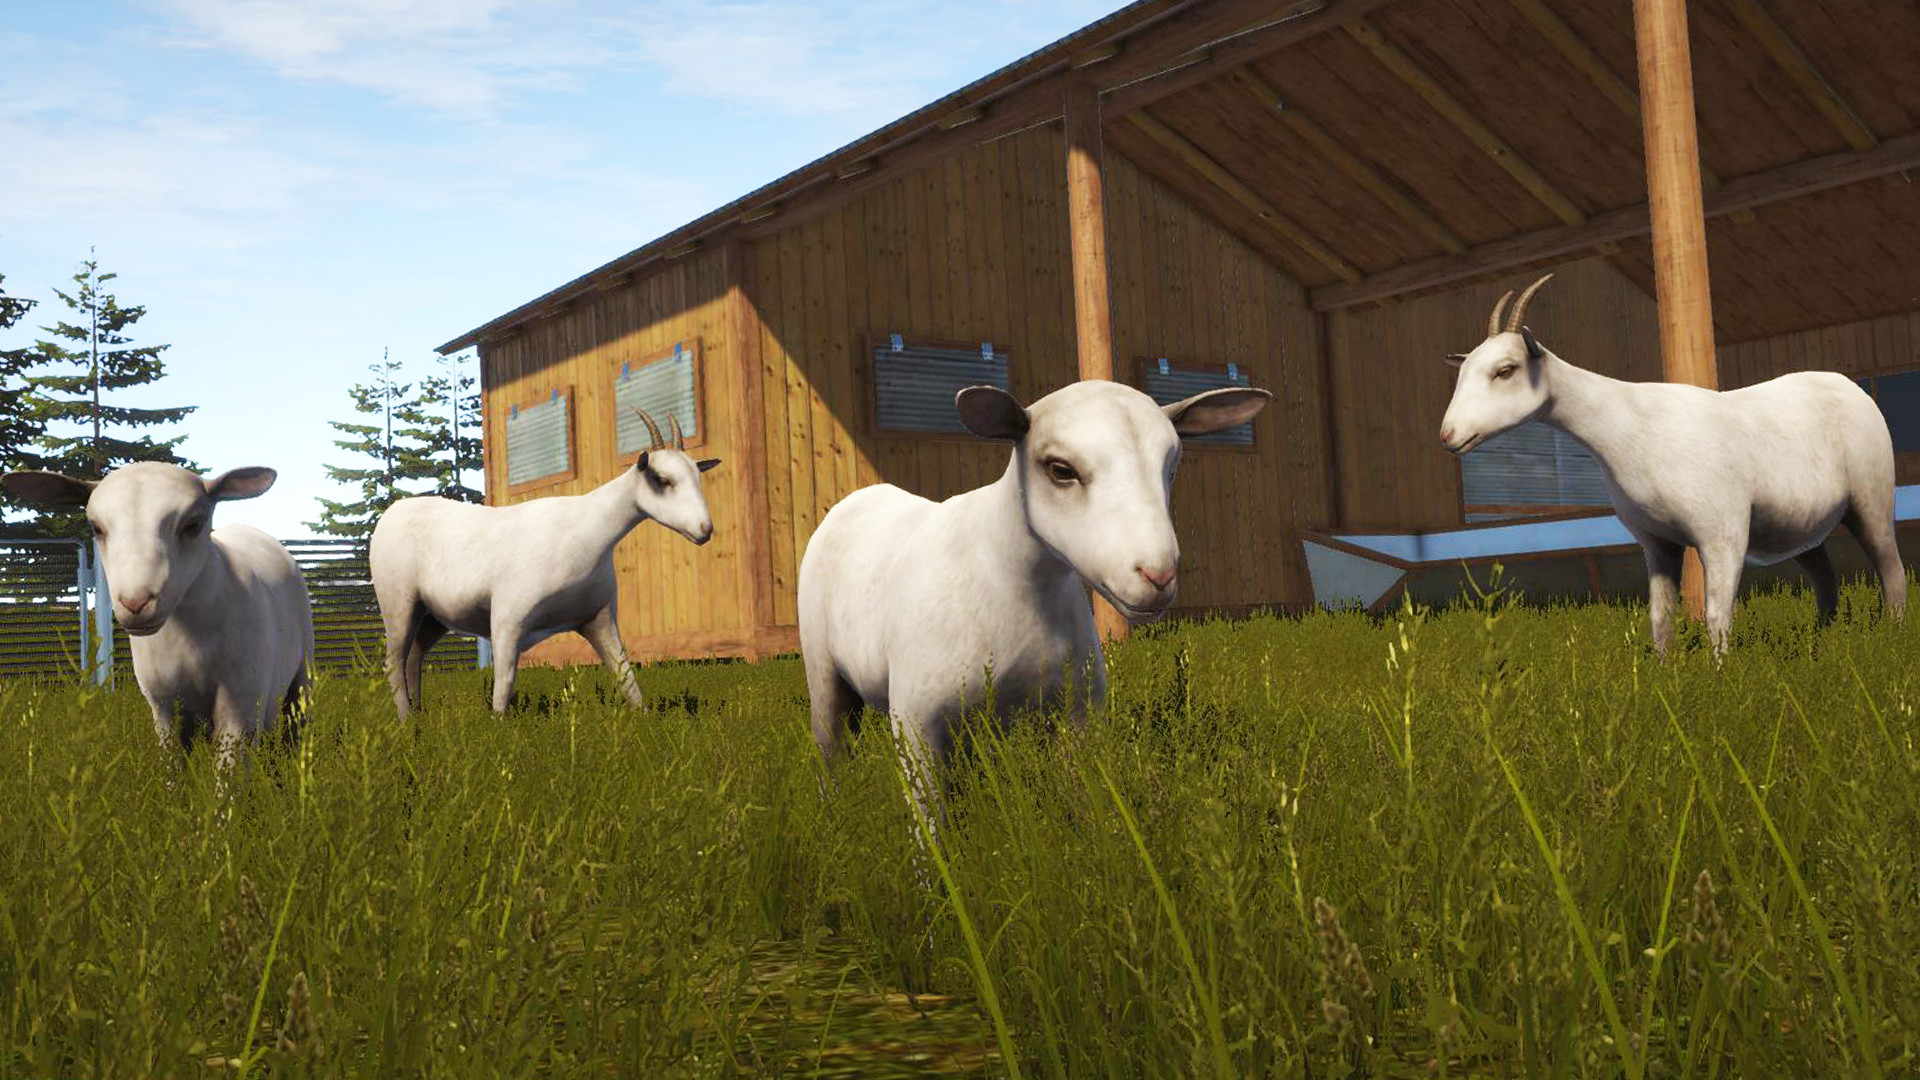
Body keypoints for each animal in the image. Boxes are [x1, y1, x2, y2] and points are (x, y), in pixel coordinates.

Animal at [1, 463, 314, 767]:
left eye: (193, 524)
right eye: (96, 527)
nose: (136, 602)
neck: (190, 637)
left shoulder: (242, 704)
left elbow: (227, 776)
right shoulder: (163, 705)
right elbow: (172, 769)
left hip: (300, 680)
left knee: (294, 734)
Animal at [370, 408, 720, 716]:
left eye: (697, 478)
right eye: (662, 479)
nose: (705, 529)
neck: (586, 527)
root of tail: (391, 512)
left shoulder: (599, 617)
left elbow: (627, 677)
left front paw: (646, 719)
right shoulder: (507, 619)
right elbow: (503, 685)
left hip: (432, 616)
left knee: (414, 656)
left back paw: (418, 714)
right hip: (398, 603)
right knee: (394, 661)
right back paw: (405, 721)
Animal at [798, 379, 1271, 822]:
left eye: (1172, 467)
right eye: (1061, 468)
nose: (1158, 576)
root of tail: (862, 494)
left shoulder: (1080, 714)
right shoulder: (917, 723)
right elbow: (932, 825)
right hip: (823, 670)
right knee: (830, 750)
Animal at [1438, 272, 1906, 657]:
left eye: (1506, 370)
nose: (1448, 436)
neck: (1630, 422)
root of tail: (1850, 386)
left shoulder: (1723, 533)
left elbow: (1718, 617)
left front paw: (1721, 680)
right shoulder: (1656, 542)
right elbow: (1659, 619)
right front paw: (1666, 677)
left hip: (1871, 499)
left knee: (1892, 571)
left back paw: (1892, 638)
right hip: (1798, 528)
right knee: (1826, 582)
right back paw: (1819, 645)